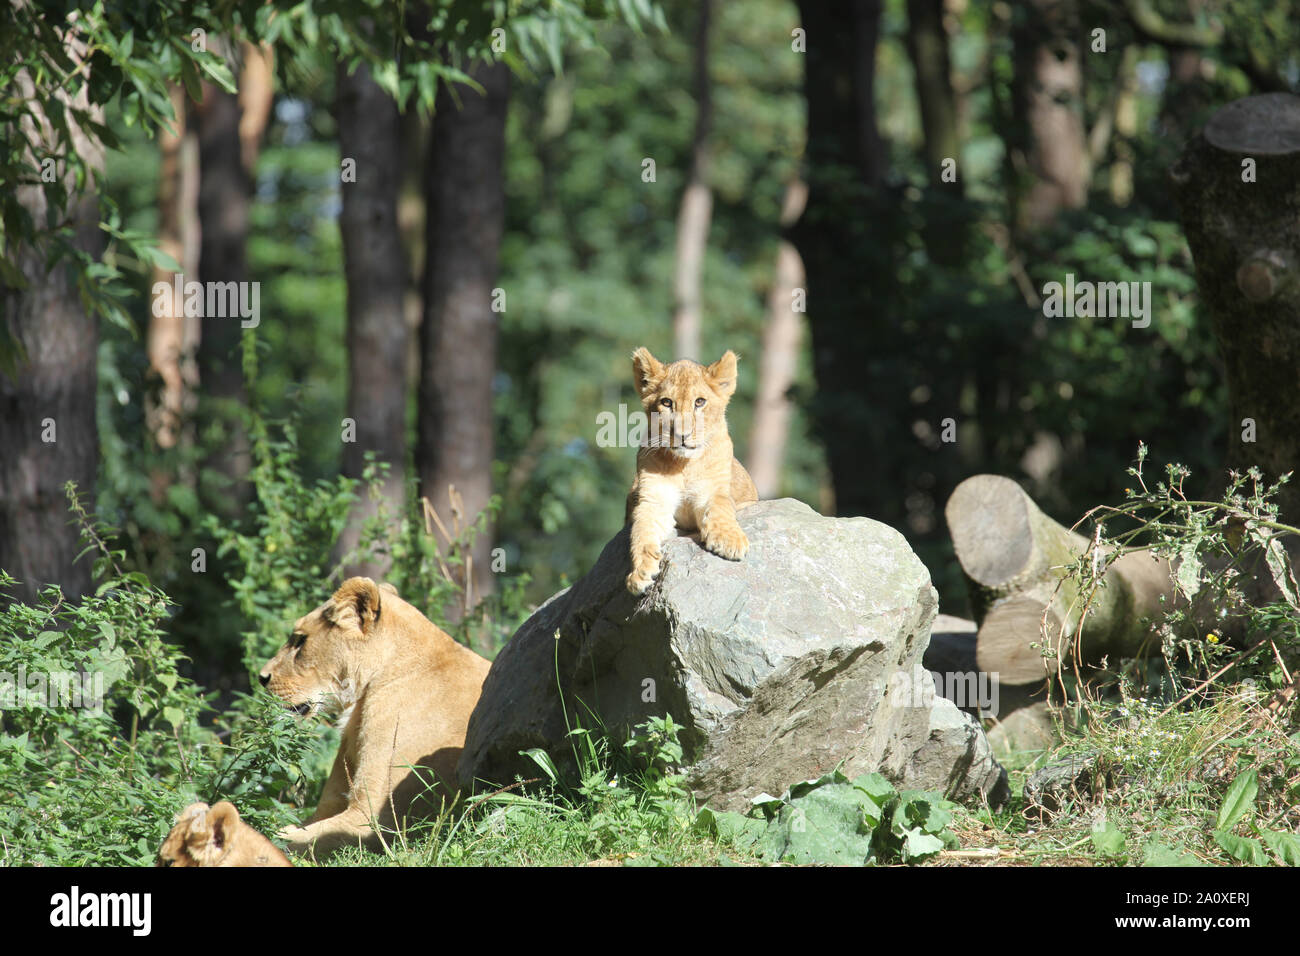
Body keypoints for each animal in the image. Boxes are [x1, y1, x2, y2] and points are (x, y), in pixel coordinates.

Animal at [624, 347, 759, 594]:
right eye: (667, 402)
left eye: (700, 402)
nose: (682, 434)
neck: (684, 464)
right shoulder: (654, 499)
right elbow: (641, 530)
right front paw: (640, 572)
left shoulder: (714, 491)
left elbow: (721, 508)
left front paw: (731, 541)